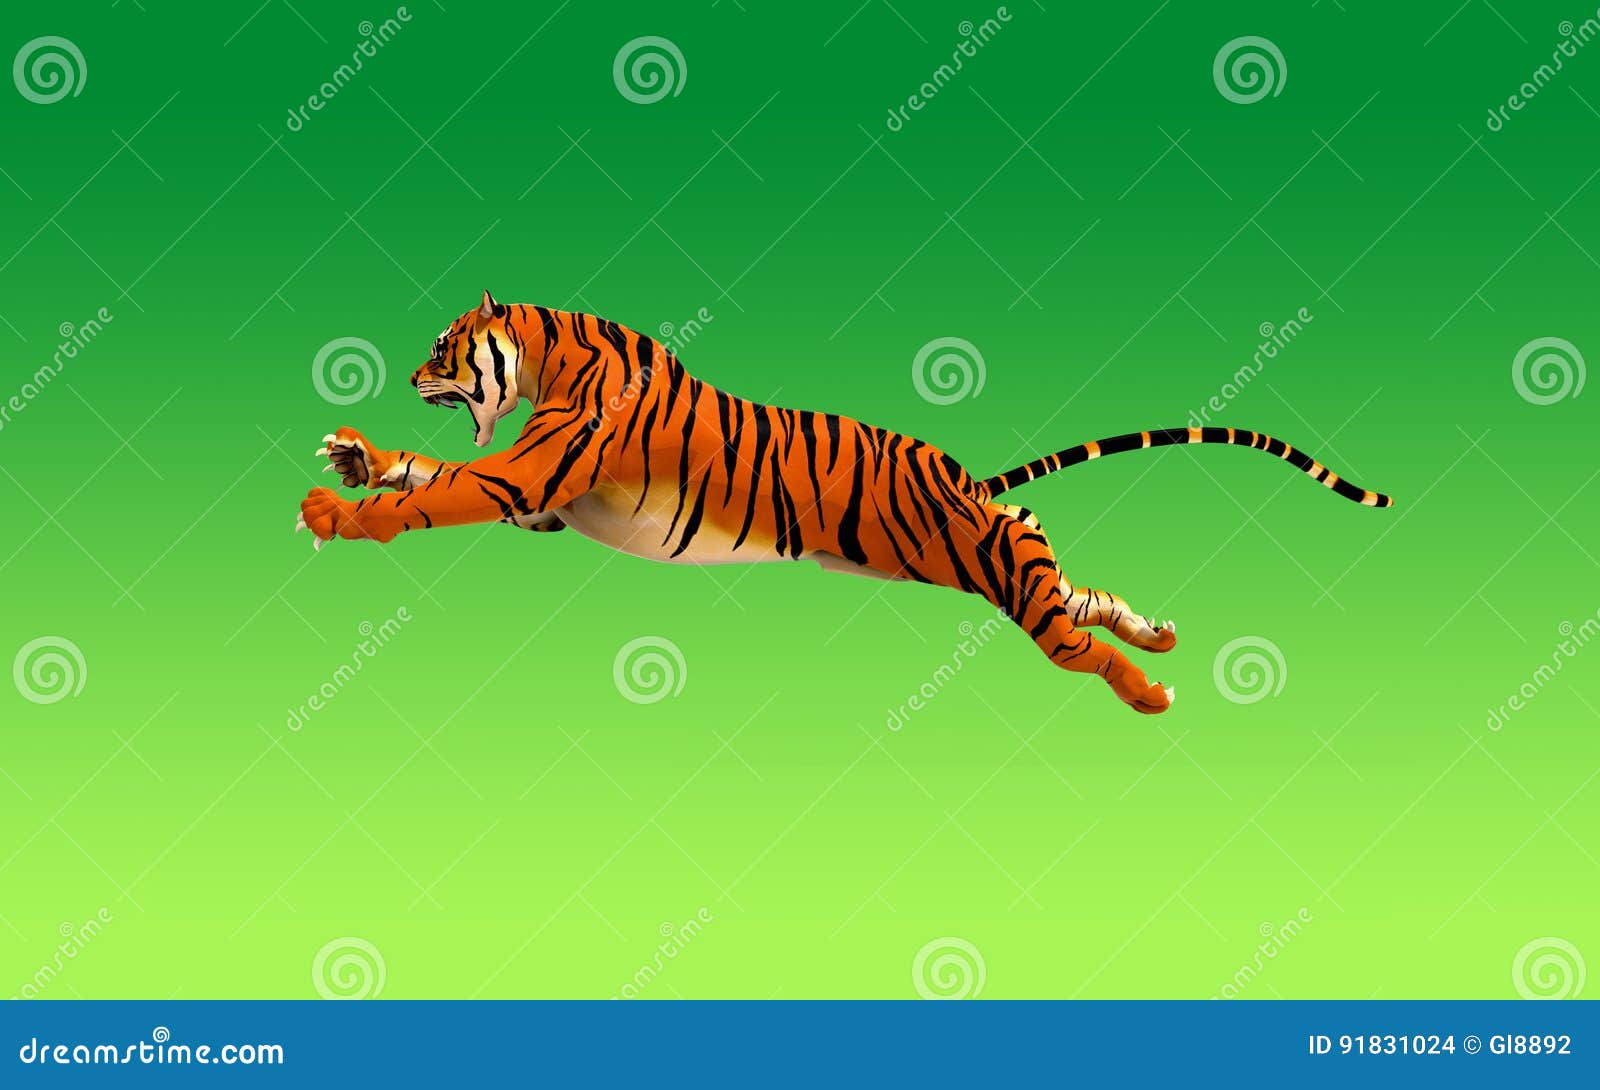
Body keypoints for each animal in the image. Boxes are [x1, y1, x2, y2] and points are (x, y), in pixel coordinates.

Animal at [296, 291, 1392, 714]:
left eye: (444, 350)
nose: (409, 375)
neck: (547, 356)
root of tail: (963, 477)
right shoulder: (541, 500)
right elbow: (422, 469)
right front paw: (353, 458)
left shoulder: (527, 479)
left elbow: (435, 495)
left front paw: (342, 514)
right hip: (995, 550)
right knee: (1067, 579)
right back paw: (1156, 636)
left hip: (976, 559)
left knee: (1068, 633)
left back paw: (1147, 689)